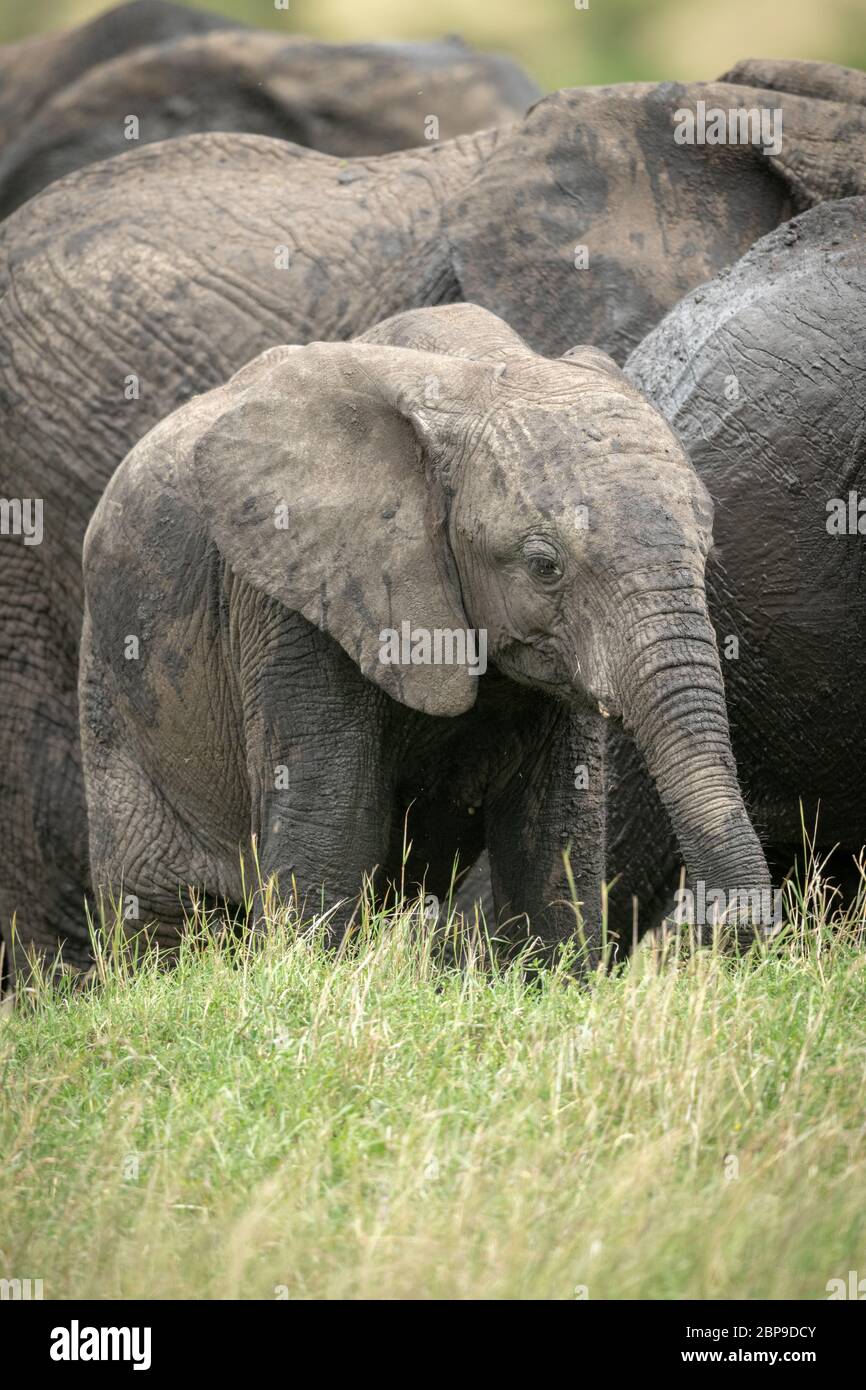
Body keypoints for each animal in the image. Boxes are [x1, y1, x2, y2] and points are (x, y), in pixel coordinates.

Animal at [77, 303, 769, 964]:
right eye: (544, 566)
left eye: (707, 550)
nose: (721, 928)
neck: (476, 372)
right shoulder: (295, 597)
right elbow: (328, 831)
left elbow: (555, 837)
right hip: (114, 706)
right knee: (158, 920)